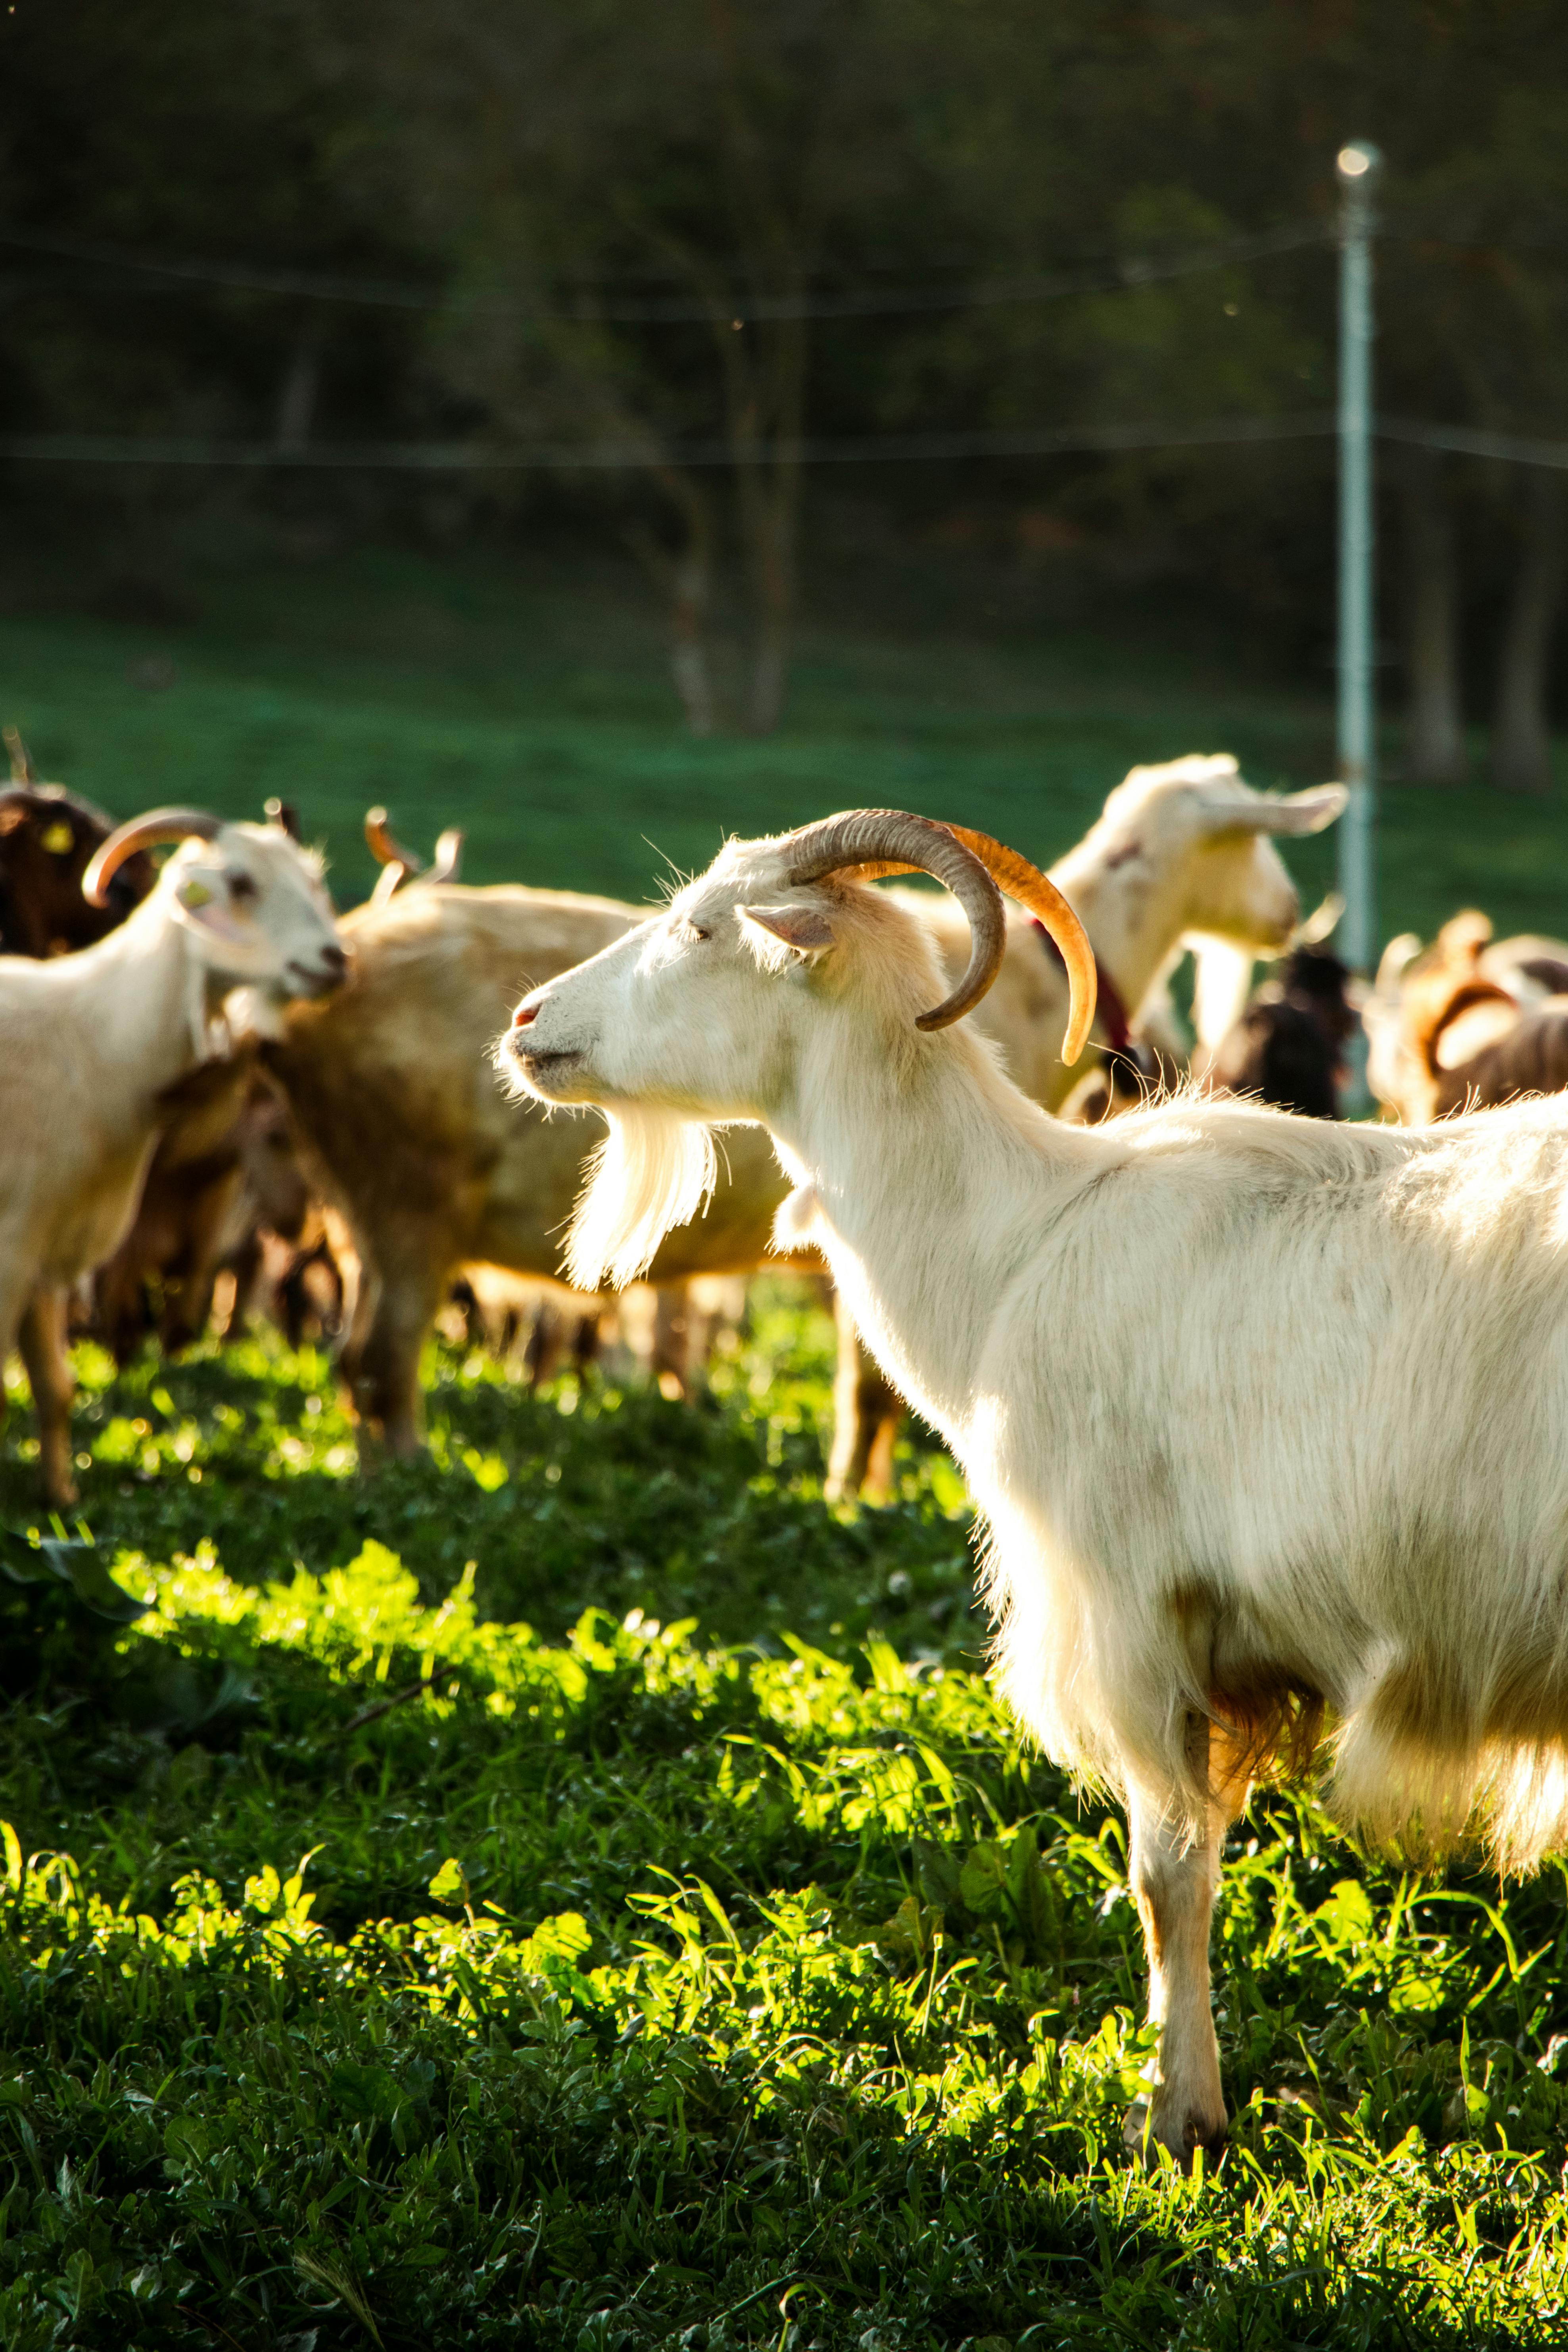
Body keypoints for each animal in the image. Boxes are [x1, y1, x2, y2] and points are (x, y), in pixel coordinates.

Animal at [0, 806, 345, 1502]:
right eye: (239, 882)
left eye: (312, 879)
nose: (334, 958)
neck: (93, 1040)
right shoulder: (11, 1242)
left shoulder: (48, 1245)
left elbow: (56, 1388)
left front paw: (61, 1500)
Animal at [505, 804, 1568, 2165]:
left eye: (697, 929)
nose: (527, 1020)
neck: (1013, 1240)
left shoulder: (1133, 1613)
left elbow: (1168, 1875)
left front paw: (1178, 2119)